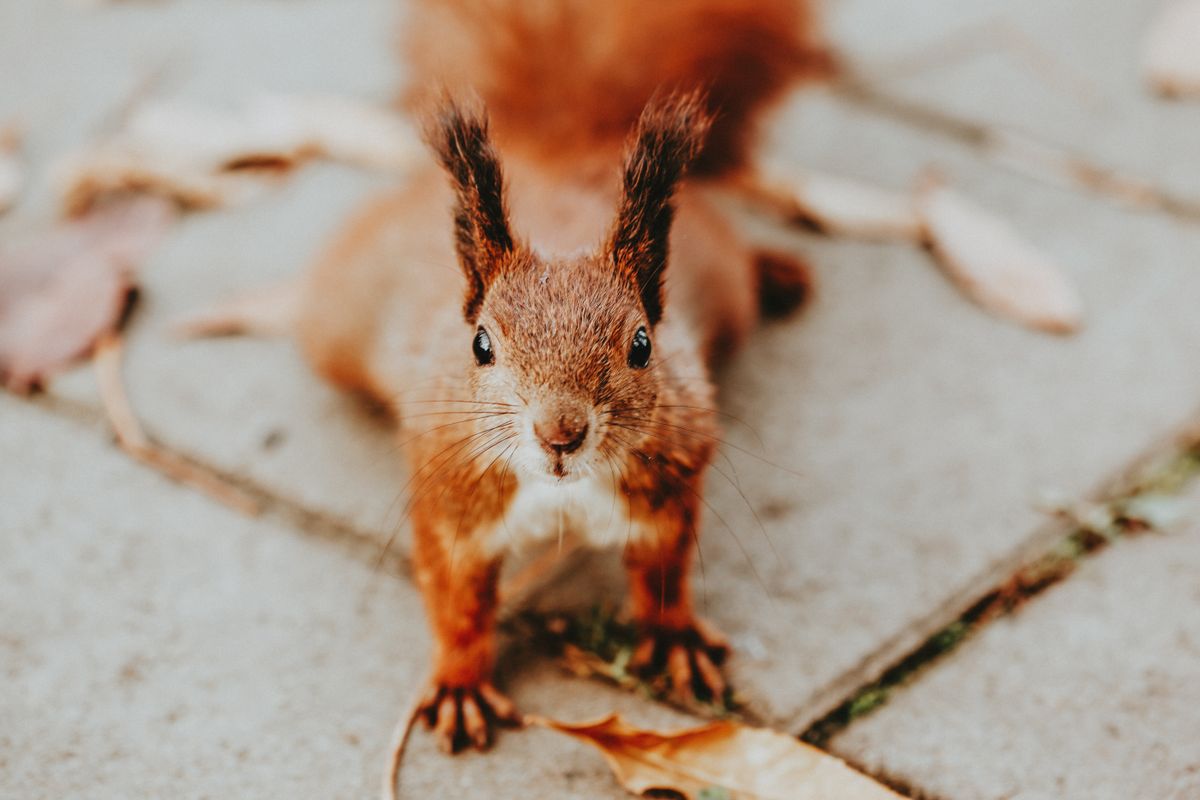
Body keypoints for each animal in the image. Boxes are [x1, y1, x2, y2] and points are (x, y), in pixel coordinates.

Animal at [289, 0, 829, 753]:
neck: (561, 492)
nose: (561, 433)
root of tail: (557, 143)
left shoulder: (670, 487)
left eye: (642, 344)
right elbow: (455, 601)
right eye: (481, 344)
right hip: (337, 316)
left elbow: (665, 574)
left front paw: (674, 638)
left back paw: (778, 272)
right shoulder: (451, 502)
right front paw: (459, 684)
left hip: (723, 275)